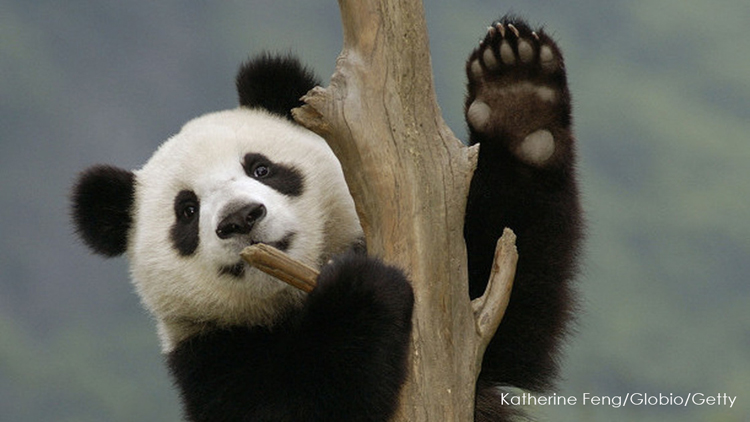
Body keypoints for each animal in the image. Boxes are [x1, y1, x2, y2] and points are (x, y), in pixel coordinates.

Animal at [71, 15, 582, 422]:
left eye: (261, 168)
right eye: (187, 211)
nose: (240, 217)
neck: (289, 298)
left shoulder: (472, 341)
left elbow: (504, 293)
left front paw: (516, 97)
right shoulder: (210, 358)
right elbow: (303, 402)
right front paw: (359, 288)